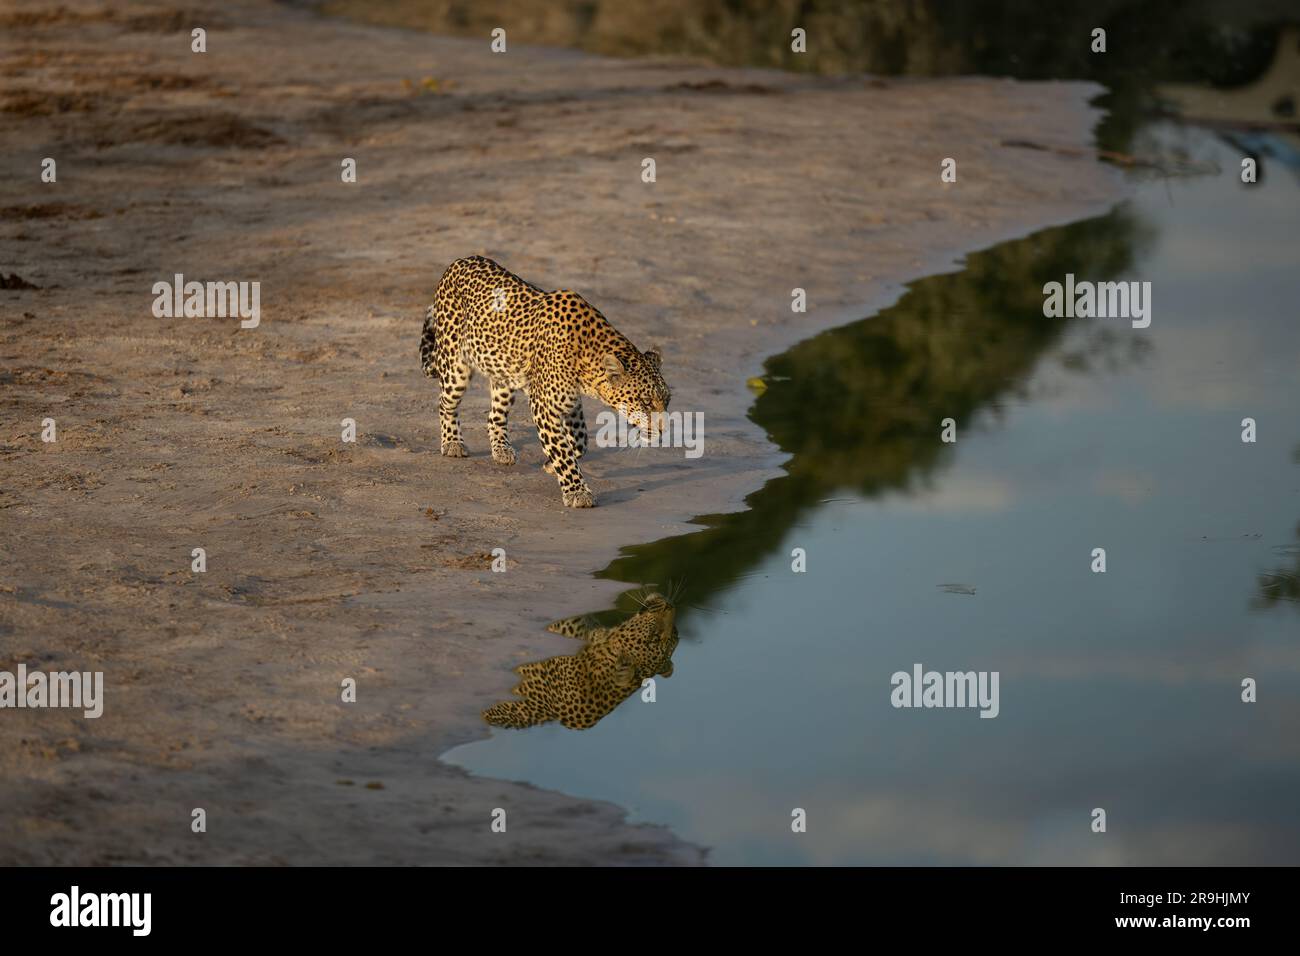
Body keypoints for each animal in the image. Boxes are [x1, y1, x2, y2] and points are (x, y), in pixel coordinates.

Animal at [419, 256, 671, 508]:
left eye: (667, 401)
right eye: (646, 402)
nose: (663, 431)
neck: (586, 360)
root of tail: (459, 261)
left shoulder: (571, 402)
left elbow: (580, 440)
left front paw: (552, 465)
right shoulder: (545, 407)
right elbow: (563, 451)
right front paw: (577, 492)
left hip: (504, 373)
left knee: (494, 415)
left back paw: (501, 449)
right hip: (455, 367)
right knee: (445, 403)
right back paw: (452, 443)